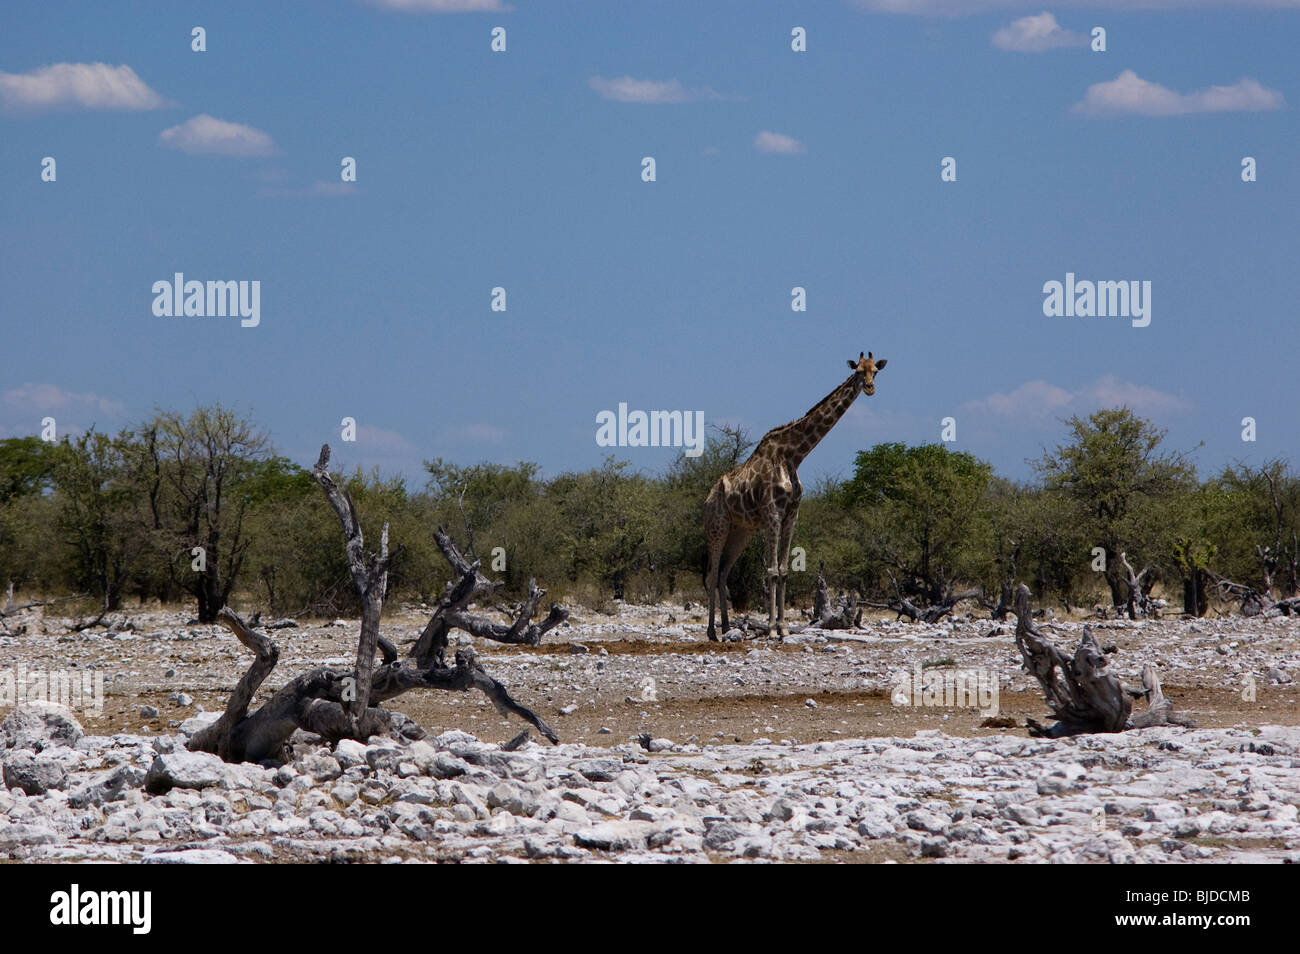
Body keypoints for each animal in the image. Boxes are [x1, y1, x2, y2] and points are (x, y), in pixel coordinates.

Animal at [704, 351, 887, 640]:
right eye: (858, 371)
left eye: (875, 372)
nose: (869, 388)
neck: (794, 455)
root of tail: (707, 499)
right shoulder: (772, 514)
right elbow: (771, 571)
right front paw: (770, 629)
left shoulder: (792, 515)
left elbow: (784, 571)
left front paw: (783, 628)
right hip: (717, 526)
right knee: (711, 574)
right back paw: (711, 631)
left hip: (740, 531)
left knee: (723, 573)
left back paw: (725, 626)